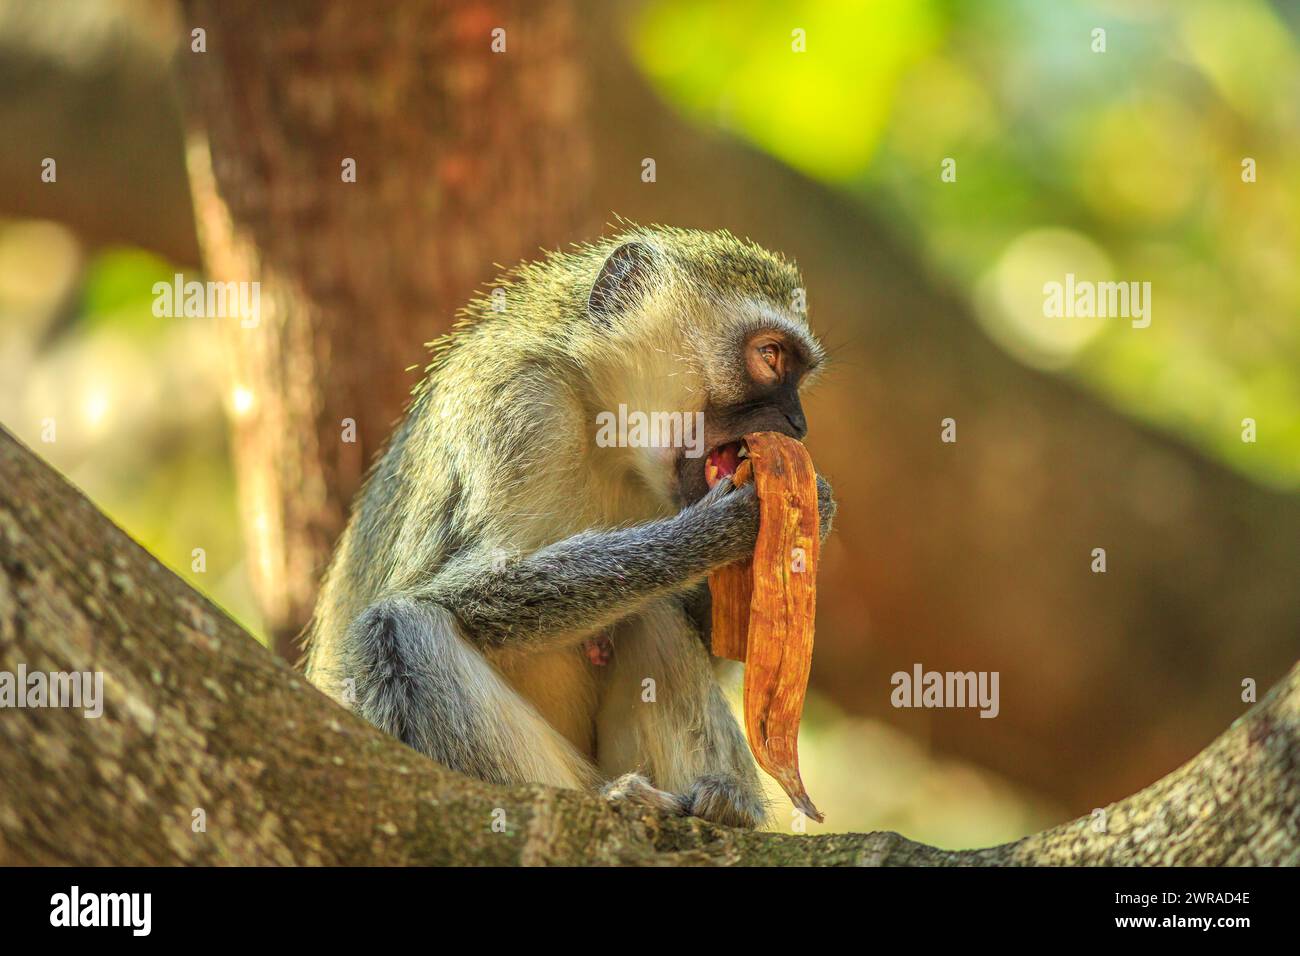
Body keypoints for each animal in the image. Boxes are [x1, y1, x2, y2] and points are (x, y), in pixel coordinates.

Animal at [303, 224, 835, 829]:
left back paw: (722, 806)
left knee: (651, 616)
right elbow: (470, 590)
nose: (798, 424)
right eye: (770, 356)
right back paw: (619, 799)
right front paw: (724, 528)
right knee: (396, 629)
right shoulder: (518, 408)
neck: (601, 426)